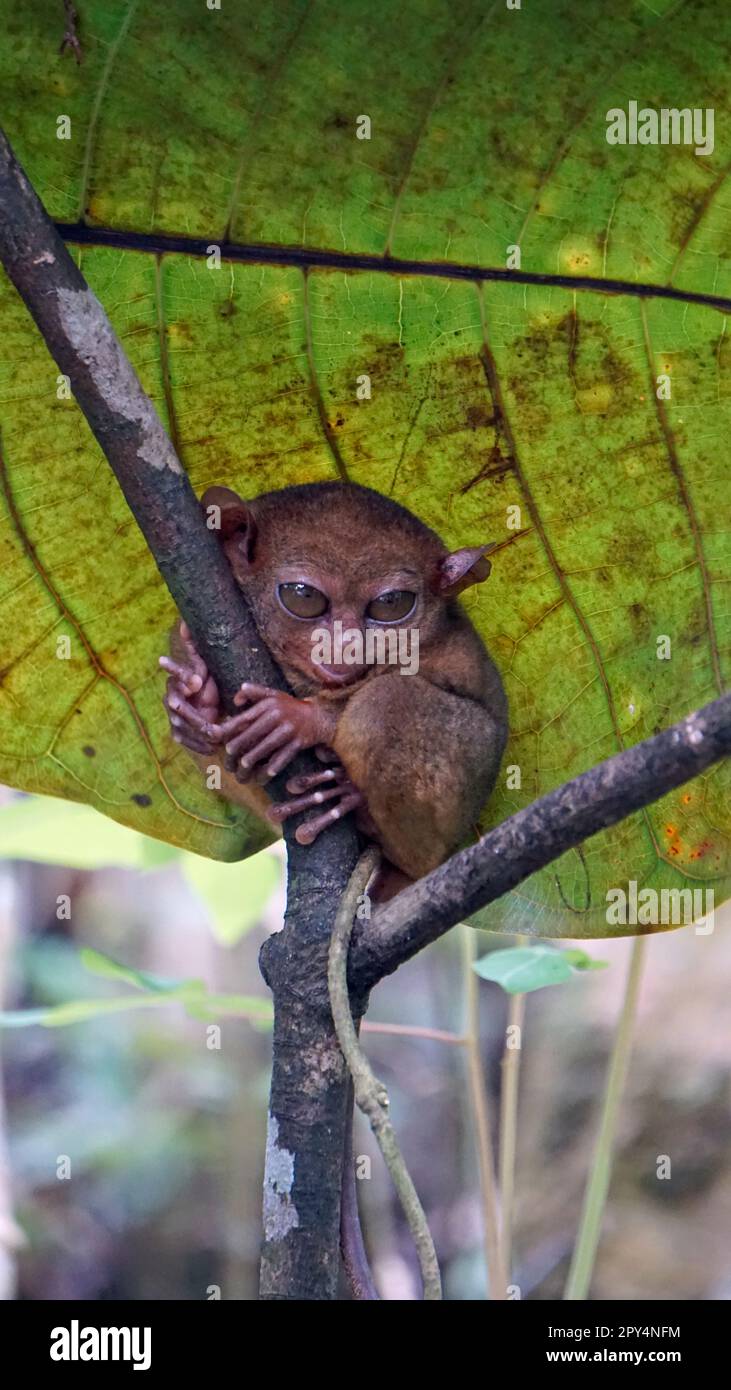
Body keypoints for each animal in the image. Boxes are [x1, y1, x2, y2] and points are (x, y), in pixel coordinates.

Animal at [159, 480, 509, 1297]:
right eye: (303, 599)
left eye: (391, 608)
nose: (347, 651)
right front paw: (195, 700)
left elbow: (409, 696)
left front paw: (304, 717)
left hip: (449, 824)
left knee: (390, 708)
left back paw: (356, 806)